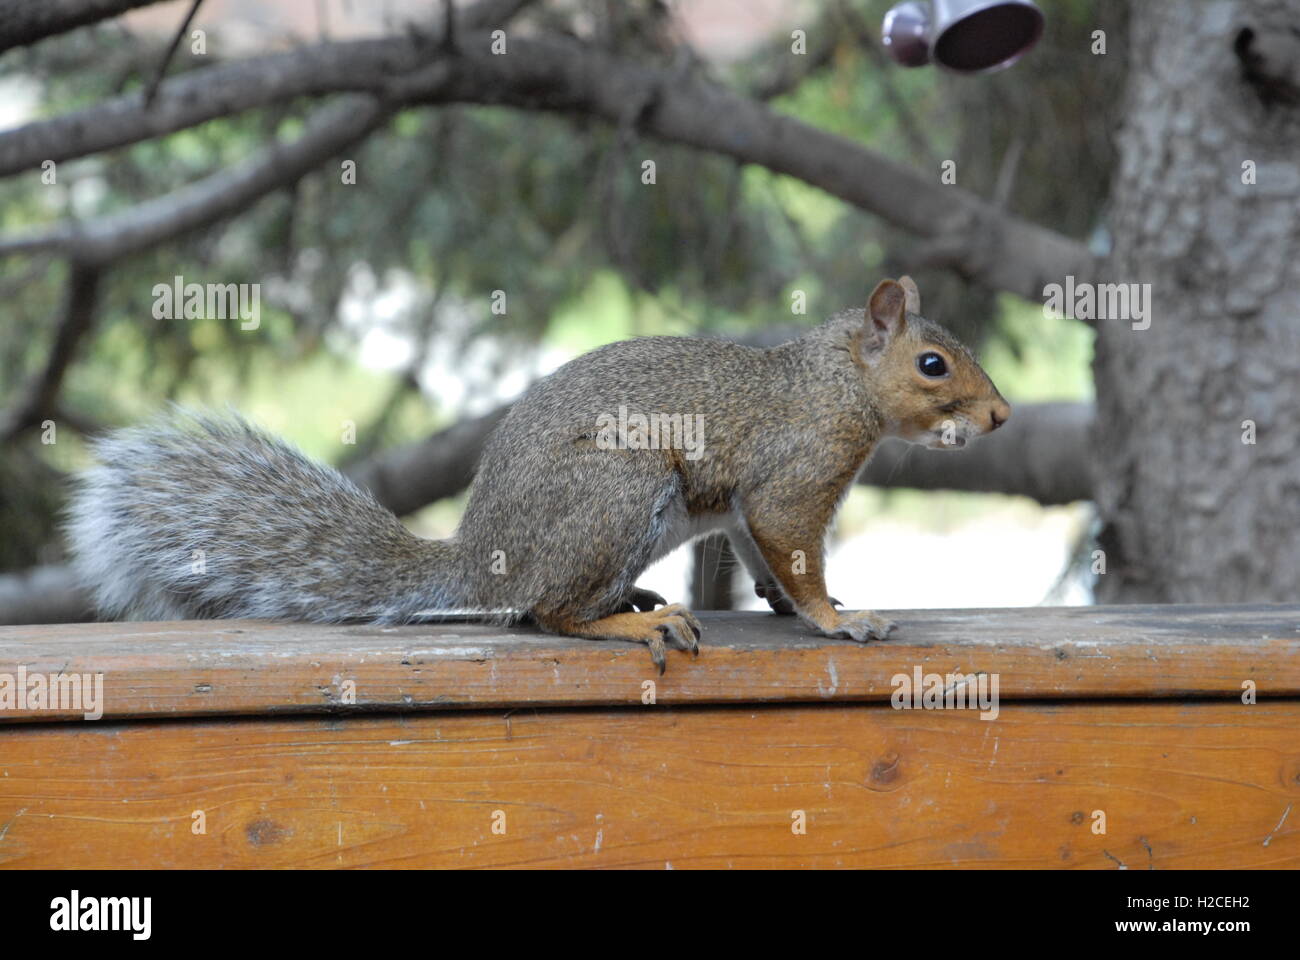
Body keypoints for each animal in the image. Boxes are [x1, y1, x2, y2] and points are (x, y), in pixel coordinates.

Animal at [67, 276, 1009, 673]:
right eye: (932, 365)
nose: (1001, 418)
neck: (835, 382)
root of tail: (481, 555)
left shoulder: (750, 504)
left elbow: (758, 551)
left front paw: (792, 604)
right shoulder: (796, 471)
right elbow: (793, 546)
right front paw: (839, 620)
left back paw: (636, 599)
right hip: (617, 490)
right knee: (549, 613)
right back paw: (632, 623)